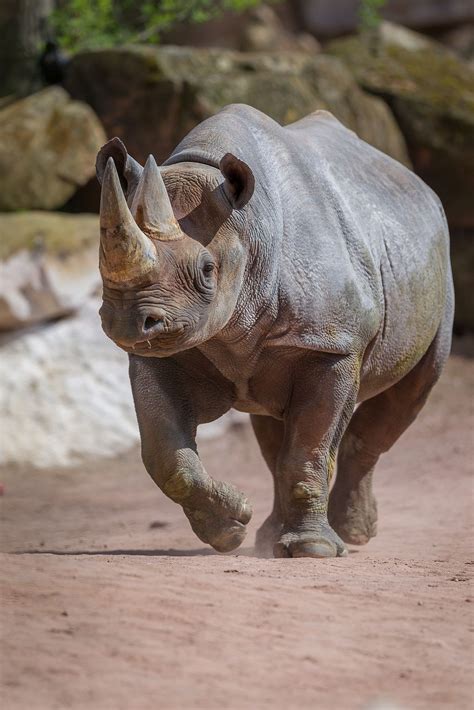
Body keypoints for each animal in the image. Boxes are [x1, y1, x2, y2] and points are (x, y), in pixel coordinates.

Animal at [96, 104, 453, 558]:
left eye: (208, 270)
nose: (127, 321)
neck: (248, 227)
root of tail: (416, 184)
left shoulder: (331, 345)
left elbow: (309, 450)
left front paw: (314, 550)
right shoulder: (164, 349)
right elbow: (165, 455)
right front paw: (229, 528)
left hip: (434, 267)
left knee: (412, 388)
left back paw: (351, 534)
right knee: (272, 427)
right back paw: (271, 537)